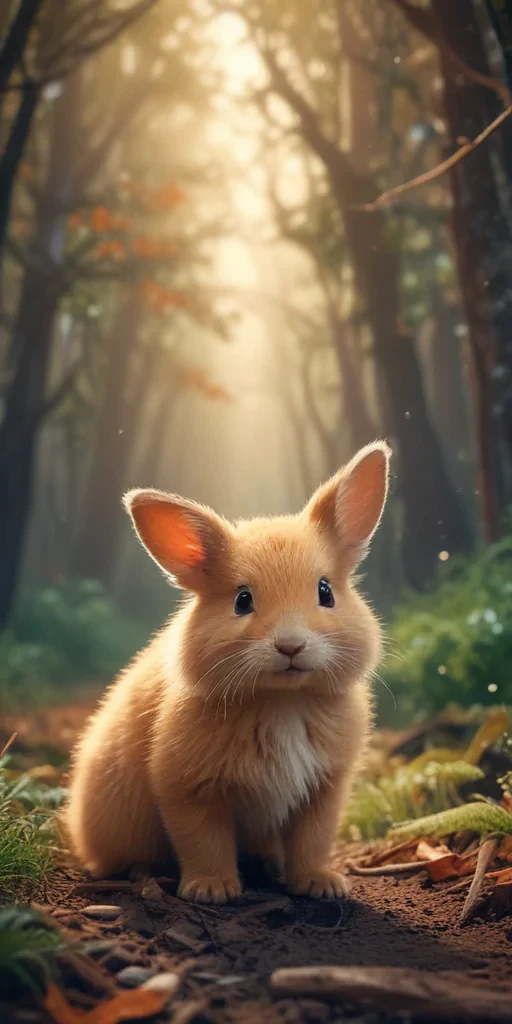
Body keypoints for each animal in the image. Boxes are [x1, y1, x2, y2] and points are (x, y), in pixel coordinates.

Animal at [66, 440, 390, 903]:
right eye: (242, 600)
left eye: (326, 591)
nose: (290, 645)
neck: (281, 702)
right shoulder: (189, 791)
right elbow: (204, 841)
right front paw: (212, 889)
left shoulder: (324, 791)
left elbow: (312, 841)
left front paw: (321, 883)